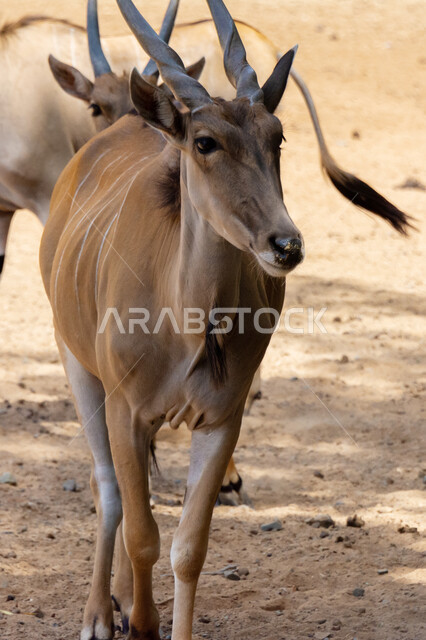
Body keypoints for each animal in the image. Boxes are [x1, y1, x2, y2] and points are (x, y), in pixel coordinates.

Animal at [39, 0, 410, 638]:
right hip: (78, 365)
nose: (285, 244)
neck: (187, 322)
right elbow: (142, 532)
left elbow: (188, 548)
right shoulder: (126, 410)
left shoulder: (220, 418)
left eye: (277, 136)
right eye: (206, 141)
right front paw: (137, 619)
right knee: (107, 489)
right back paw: (99, 613)